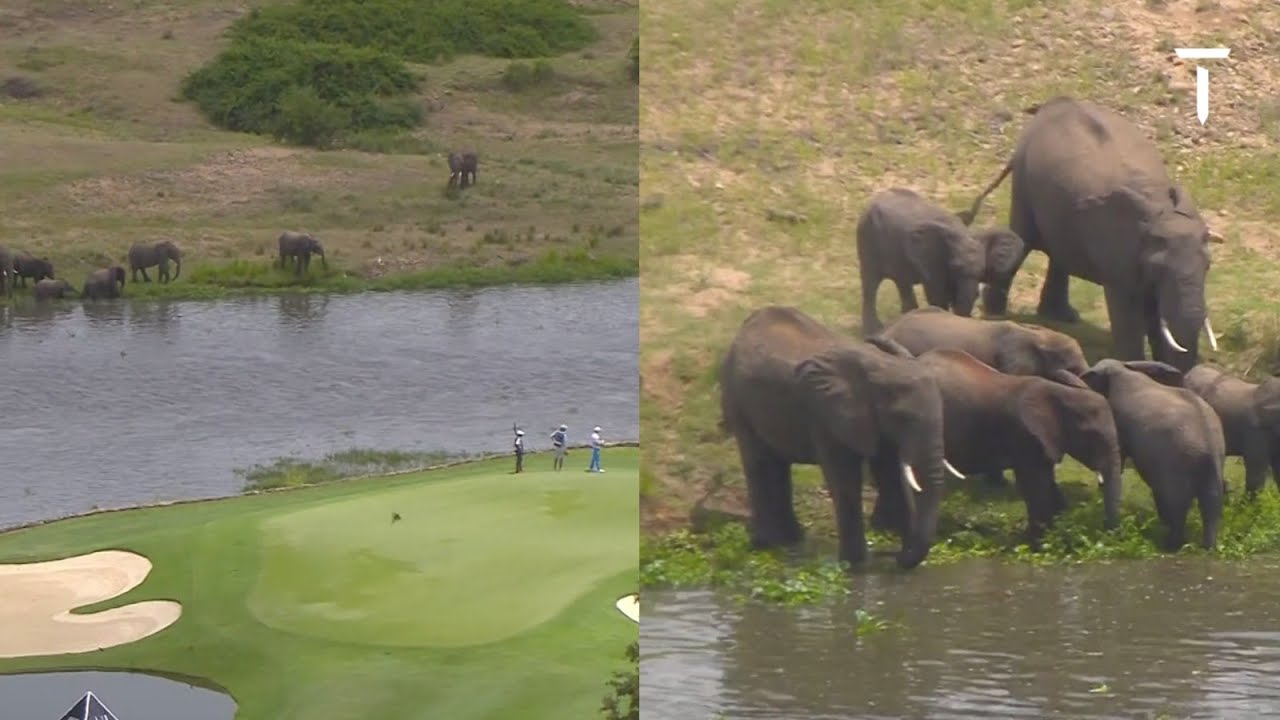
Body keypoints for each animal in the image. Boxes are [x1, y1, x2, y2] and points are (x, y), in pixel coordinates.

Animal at [719, 304, 959, 569]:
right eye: (903, 417)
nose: (899, 557)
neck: (882, 366)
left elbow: (890, 473)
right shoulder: (826, 414)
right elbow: (845, 477)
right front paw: (854, 566)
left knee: (778, 465)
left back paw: (791, 540)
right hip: (736, 398)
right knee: (758, 462)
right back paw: (767, 544)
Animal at [857, 187, 1026, 335]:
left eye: (981, 272)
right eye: (955, 267)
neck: (962, 233)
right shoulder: (932, 261)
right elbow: (938, 294)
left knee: (902, 282)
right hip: (866, 237)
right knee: (870, 284)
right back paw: (872, 331)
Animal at [867, 346, 1123, 545]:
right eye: (1093, 436)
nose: (1107, 531)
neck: (1061, 394)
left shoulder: (1043, 440)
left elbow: (1047, 481)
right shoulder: (1024, 435)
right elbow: (1035, 485)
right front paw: (1037, 543)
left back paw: (884, 530)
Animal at [961, 96, 1224, 373]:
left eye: (1208, 267)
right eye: (1159, 269)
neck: (1159, 206)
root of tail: (1054, 104)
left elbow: (1155, 313)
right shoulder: (1119, 254)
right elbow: (1128, 309)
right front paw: (1135, 364)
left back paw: (1061, 316)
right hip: (1024, 183)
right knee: (1022, 240)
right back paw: (996, 315)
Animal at [1079, 359, 1225, 551]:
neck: (1121, 369)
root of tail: (1210, 446)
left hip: (1177, 464)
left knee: (1176, 504)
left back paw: (1170, 545)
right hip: (1213, 461)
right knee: (1211, 503)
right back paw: (1207, 548)